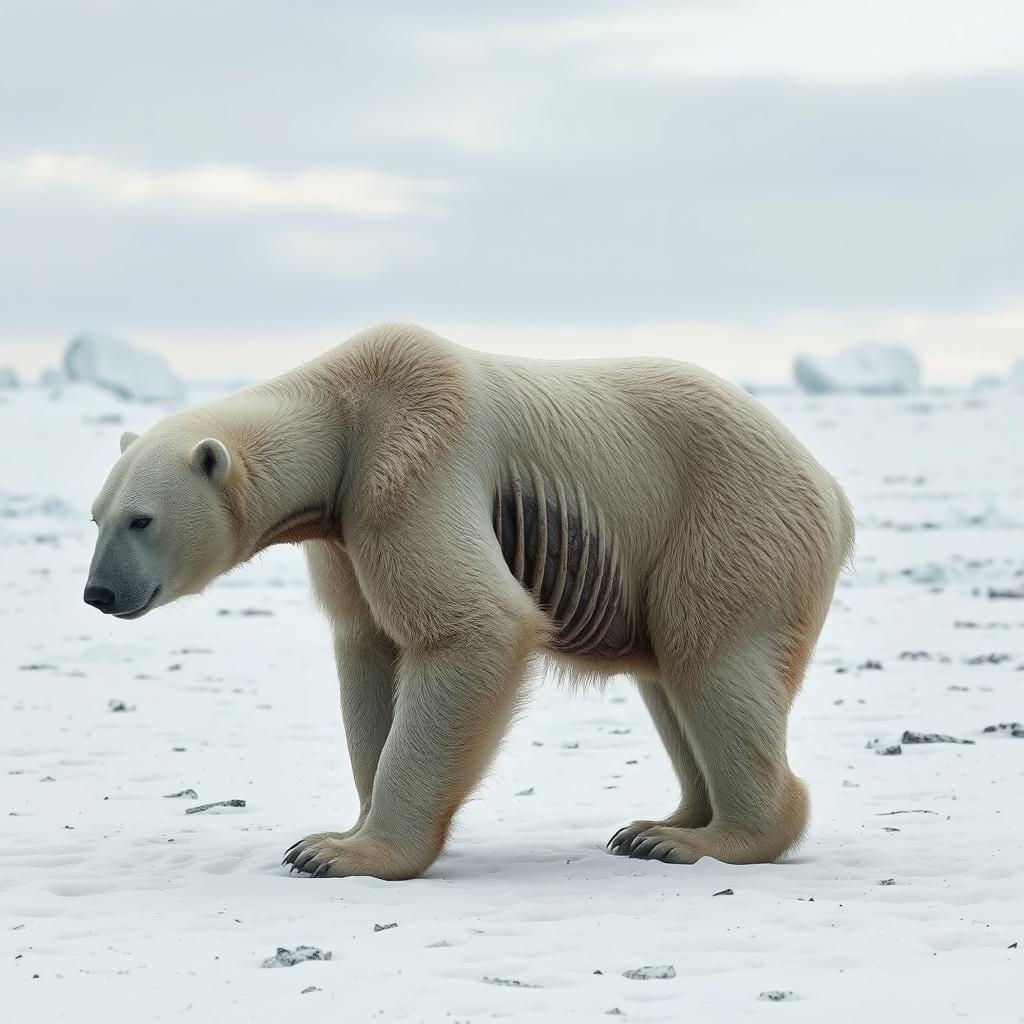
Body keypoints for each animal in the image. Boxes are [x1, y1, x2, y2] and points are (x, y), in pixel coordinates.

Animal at [85, 323, 854, 880]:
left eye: (141, 520)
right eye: (96, 516)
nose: (98, 592)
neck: (347, 405)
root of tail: (833, 491)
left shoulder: (411, 469)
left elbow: (470, 625)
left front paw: (341, 854)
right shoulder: (345, 527)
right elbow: (368, 647)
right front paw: (343, 829)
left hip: (732, 524)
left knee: (711, 659)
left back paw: (709, 839)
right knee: (668, 677)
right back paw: (657, 826)